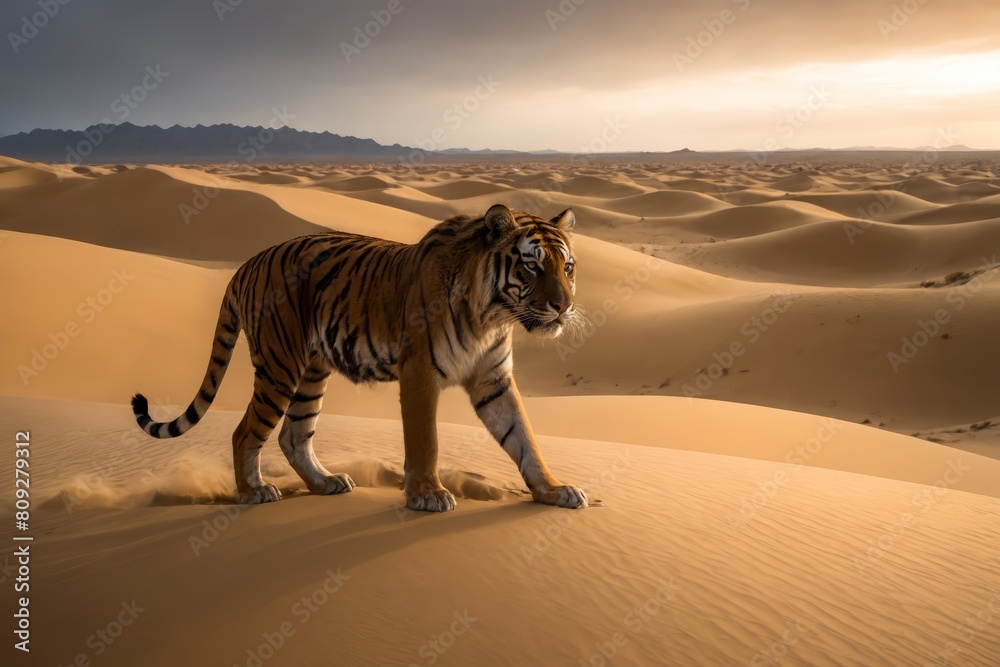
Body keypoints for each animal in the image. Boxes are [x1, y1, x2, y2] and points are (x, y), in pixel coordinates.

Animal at [131, 204, 588, 512]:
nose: (564, 306)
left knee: (293, 436)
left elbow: (524, 436)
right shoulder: (419, 371)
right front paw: (428, 495)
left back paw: (326, 483)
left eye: (567, 267)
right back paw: (252, 493)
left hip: (311, 373)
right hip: (280, 368)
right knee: (245, 433)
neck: (491, 316)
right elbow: (426, 440)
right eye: (532, 267)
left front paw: (553, 490)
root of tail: (247, 263)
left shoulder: (492, 380)